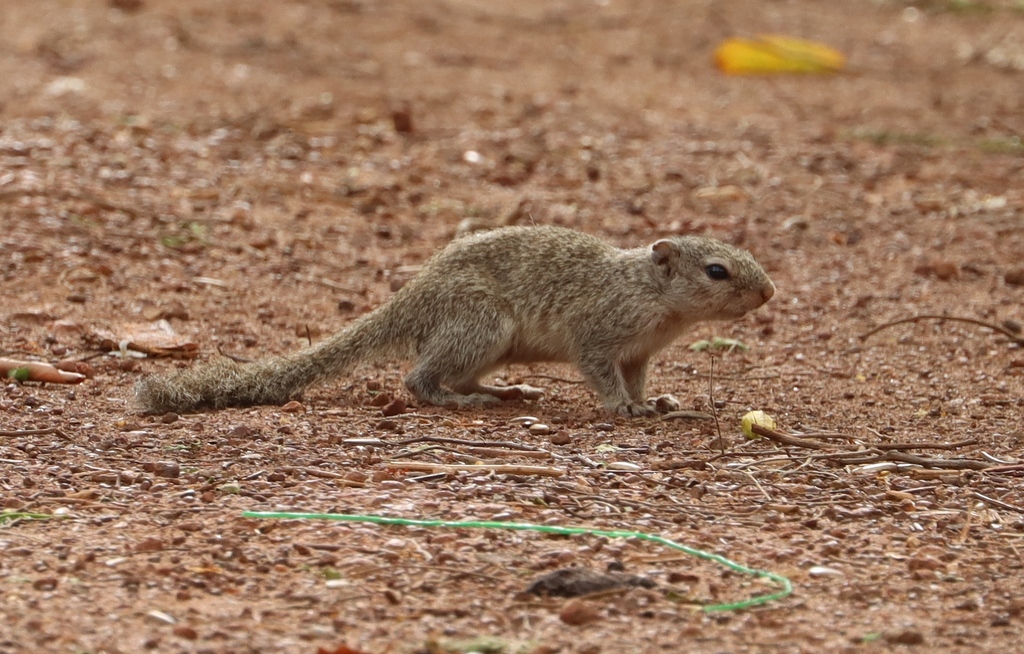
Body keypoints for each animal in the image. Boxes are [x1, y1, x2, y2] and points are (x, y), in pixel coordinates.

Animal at [134, 225, 775, 417]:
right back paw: (460, 401)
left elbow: (638, 378)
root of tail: (410, 299)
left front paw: (652, 403)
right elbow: (599, 372)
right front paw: (623, 409)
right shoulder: (598, 333)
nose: (769, 292)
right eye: (717, 271)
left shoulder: (638, 352)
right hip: (479, 325)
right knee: (418, 380)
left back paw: (505, 391)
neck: (652, 296)